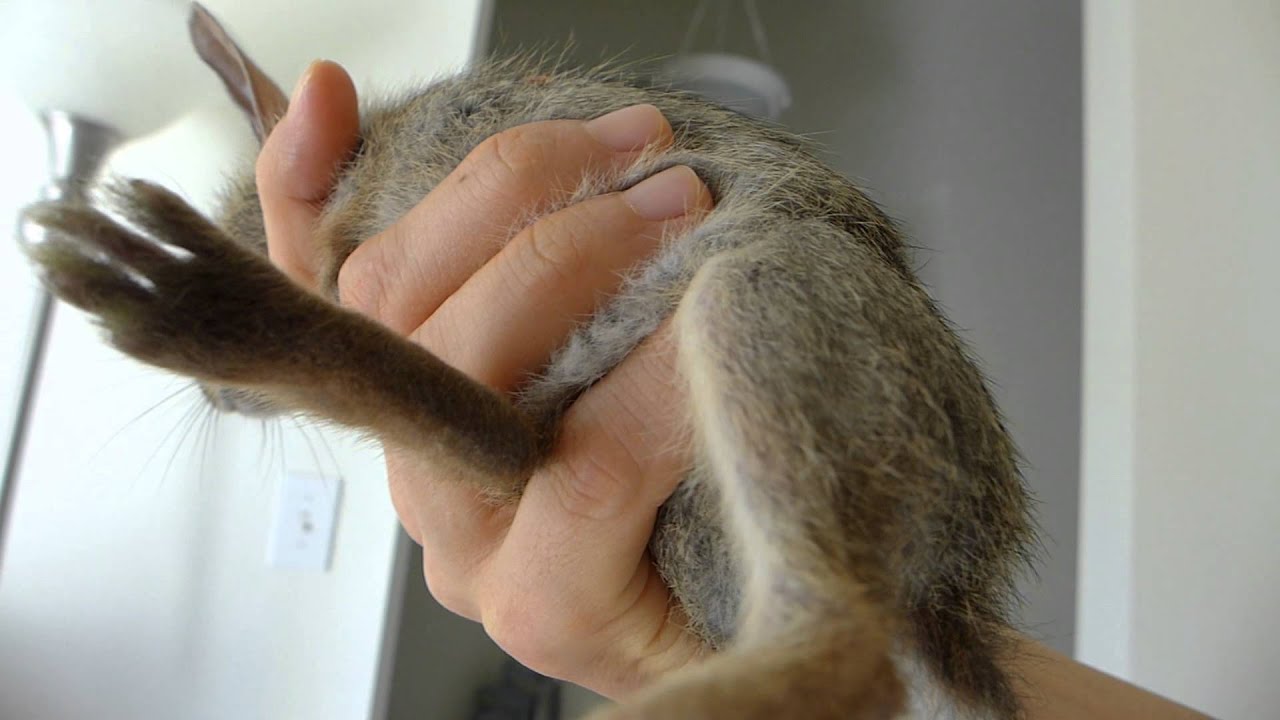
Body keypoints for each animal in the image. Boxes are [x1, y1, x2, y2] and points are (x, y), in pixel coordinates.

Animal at [18, 4, 1038, 719]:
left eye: (246, 210)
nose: (217, 401)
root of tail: (951, 596)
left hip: (759, 291)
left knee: (840, 645)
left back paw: (197, 298)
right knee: (517, 444)